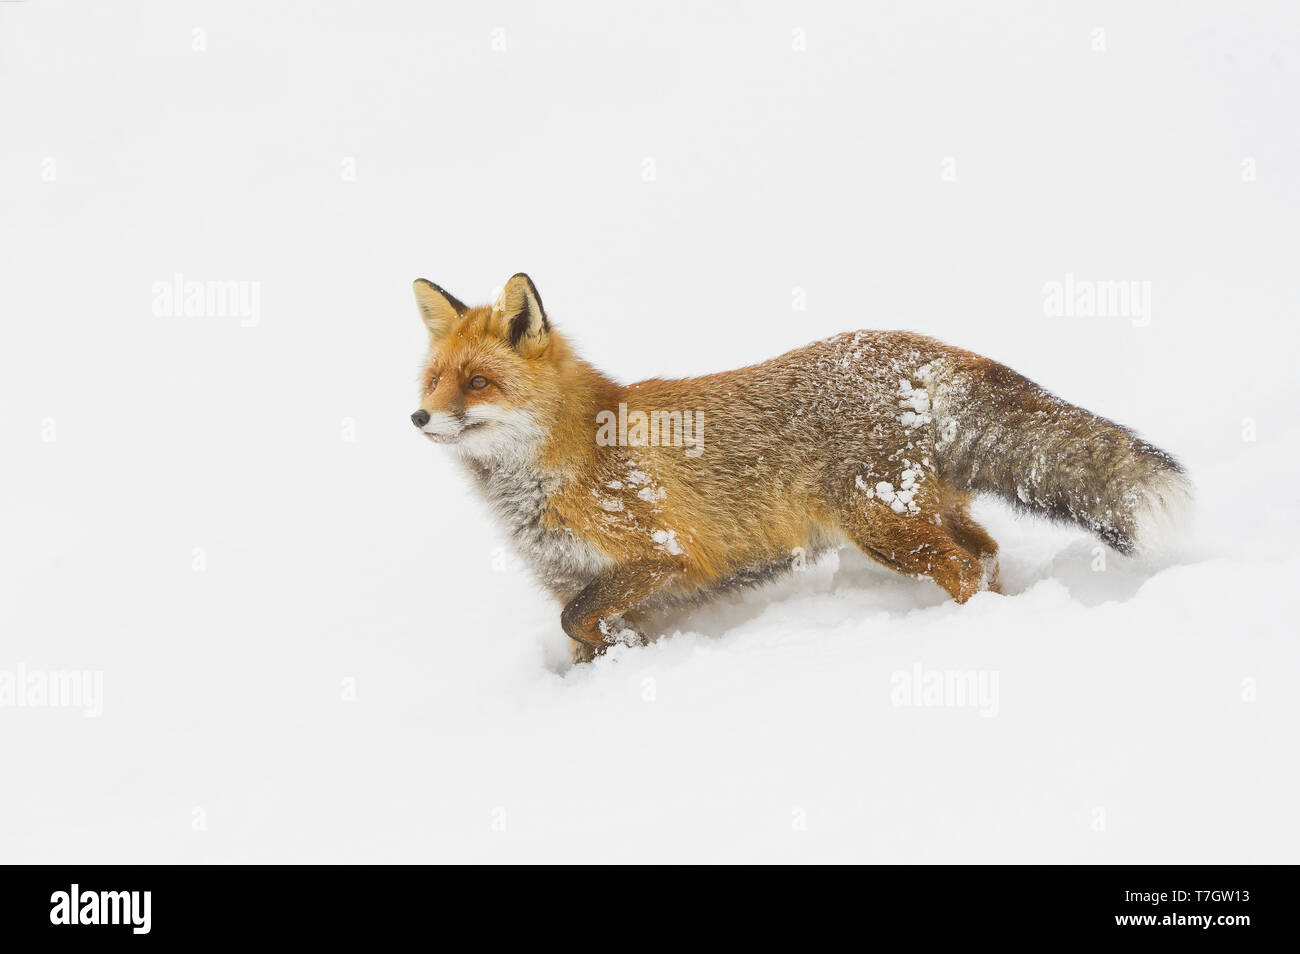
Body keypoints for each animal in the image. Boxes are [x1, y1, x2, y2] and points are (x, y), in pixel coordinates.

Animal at [410, 273, 1191, 662]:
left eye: (478, 383)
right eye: (433, 381)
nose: (417, 419)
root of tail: (920, 346)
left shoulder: (659, 555)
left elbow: (577, 621)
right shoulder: (592, 583)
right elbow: (584, 636)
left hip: (882, 526)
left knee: (966, 569)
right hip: (921, 512)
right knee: (988, 553)